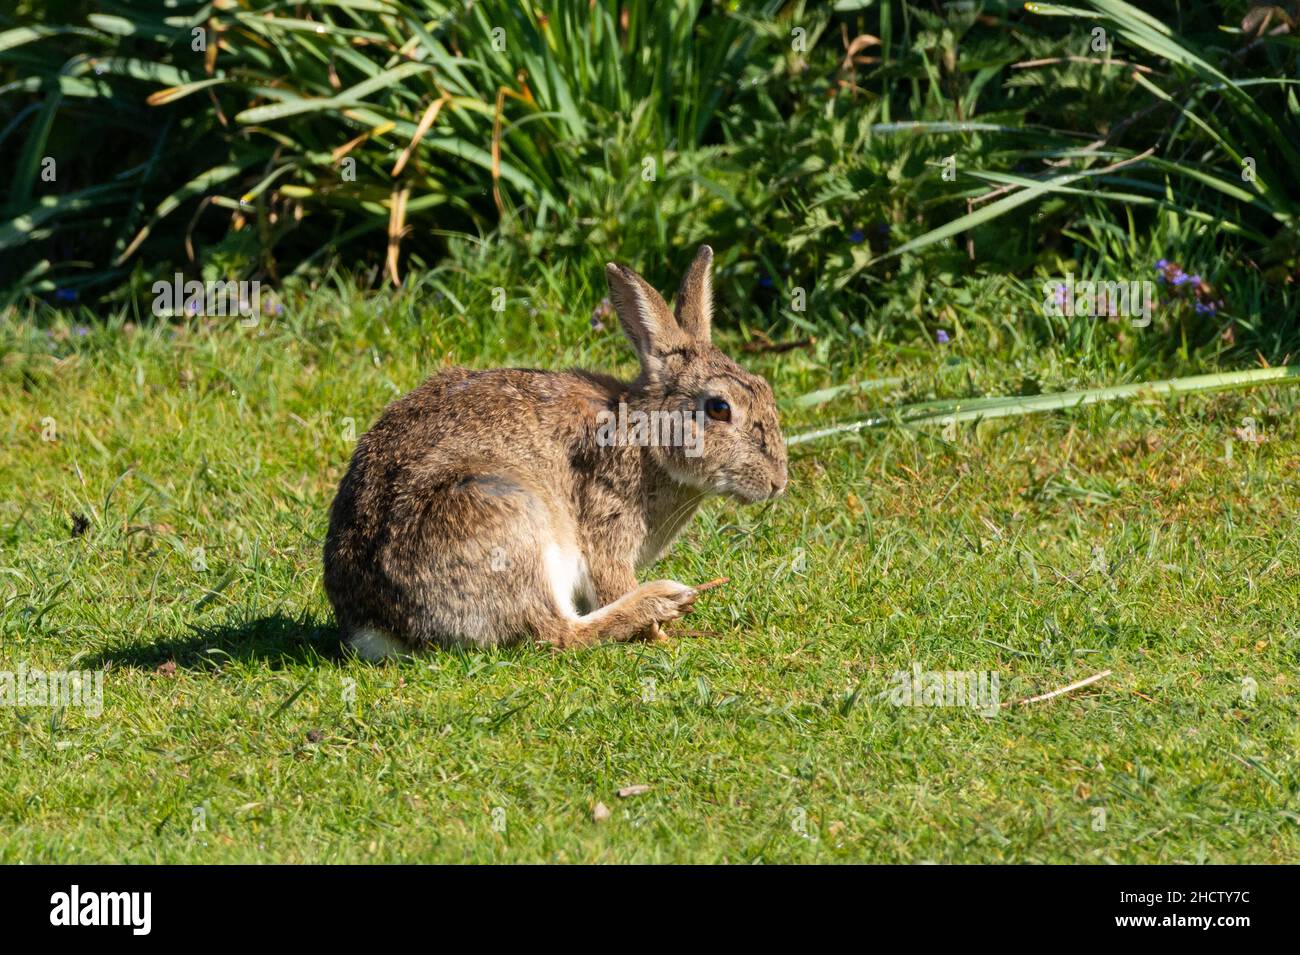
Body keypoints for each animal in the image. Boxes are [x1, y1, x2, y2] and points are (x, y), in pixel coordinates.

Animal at [323, 245, 788, 658]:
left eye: (765, 388)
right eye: (719, 408)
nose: (778, 483)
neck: (645, 434)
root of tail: (378, 625)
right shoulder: (607, 525)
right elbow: (611, 581)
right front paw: (659, 633)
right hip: (505, 516)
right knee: (556, 632)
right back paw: (660, 601)